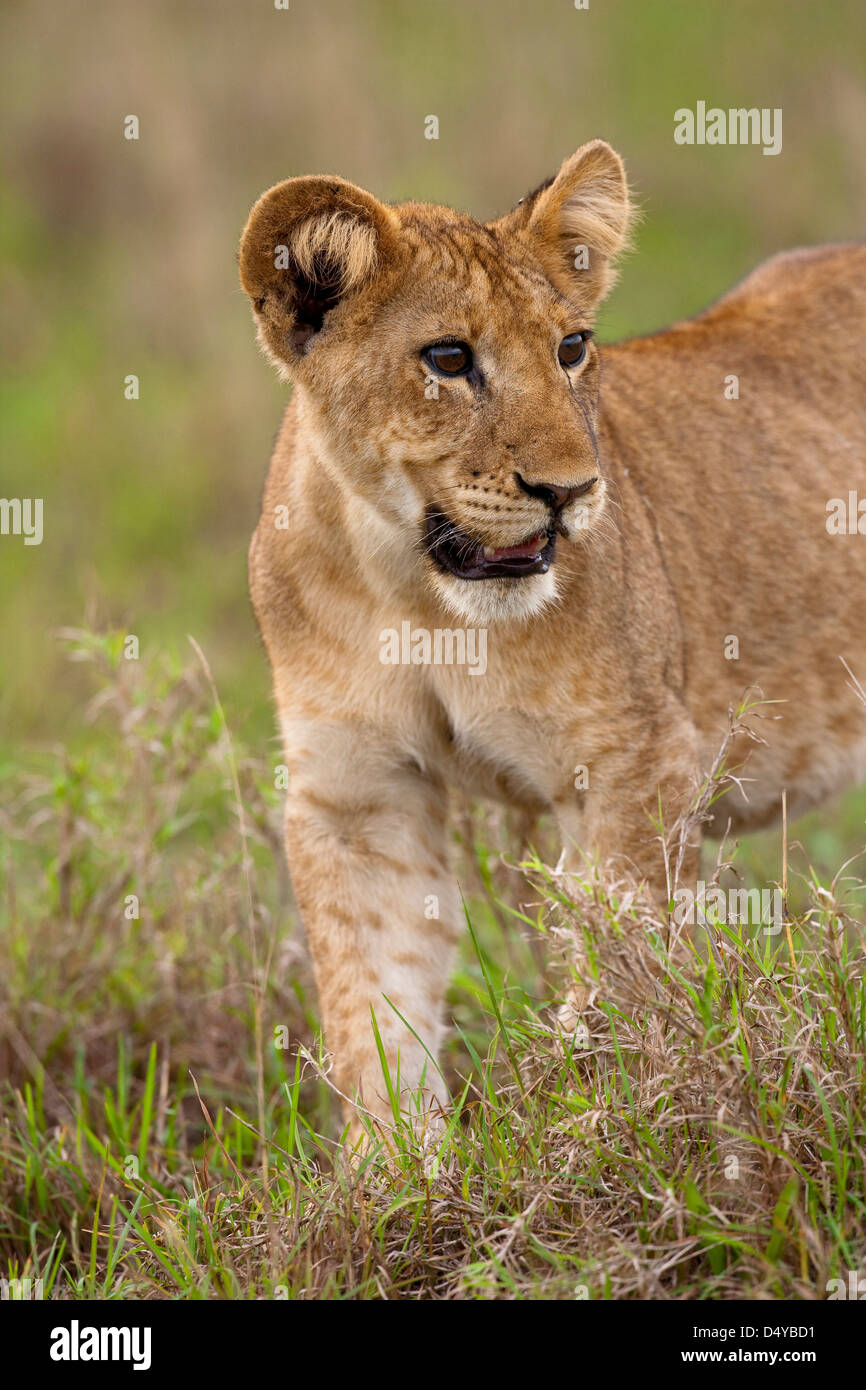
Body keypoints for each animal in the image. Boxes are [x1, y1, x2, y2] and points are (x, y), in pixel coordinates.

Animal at [239, 141, 866, 1137]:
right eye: (448, 358)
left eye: (571, 349)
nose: (568, 491)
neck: (417, 599)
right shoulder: (357, 793)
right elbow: (374, 1008)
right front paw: (396, 1170)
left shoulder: (633, 761)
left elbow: (620, 976)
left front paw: (601, 1129)